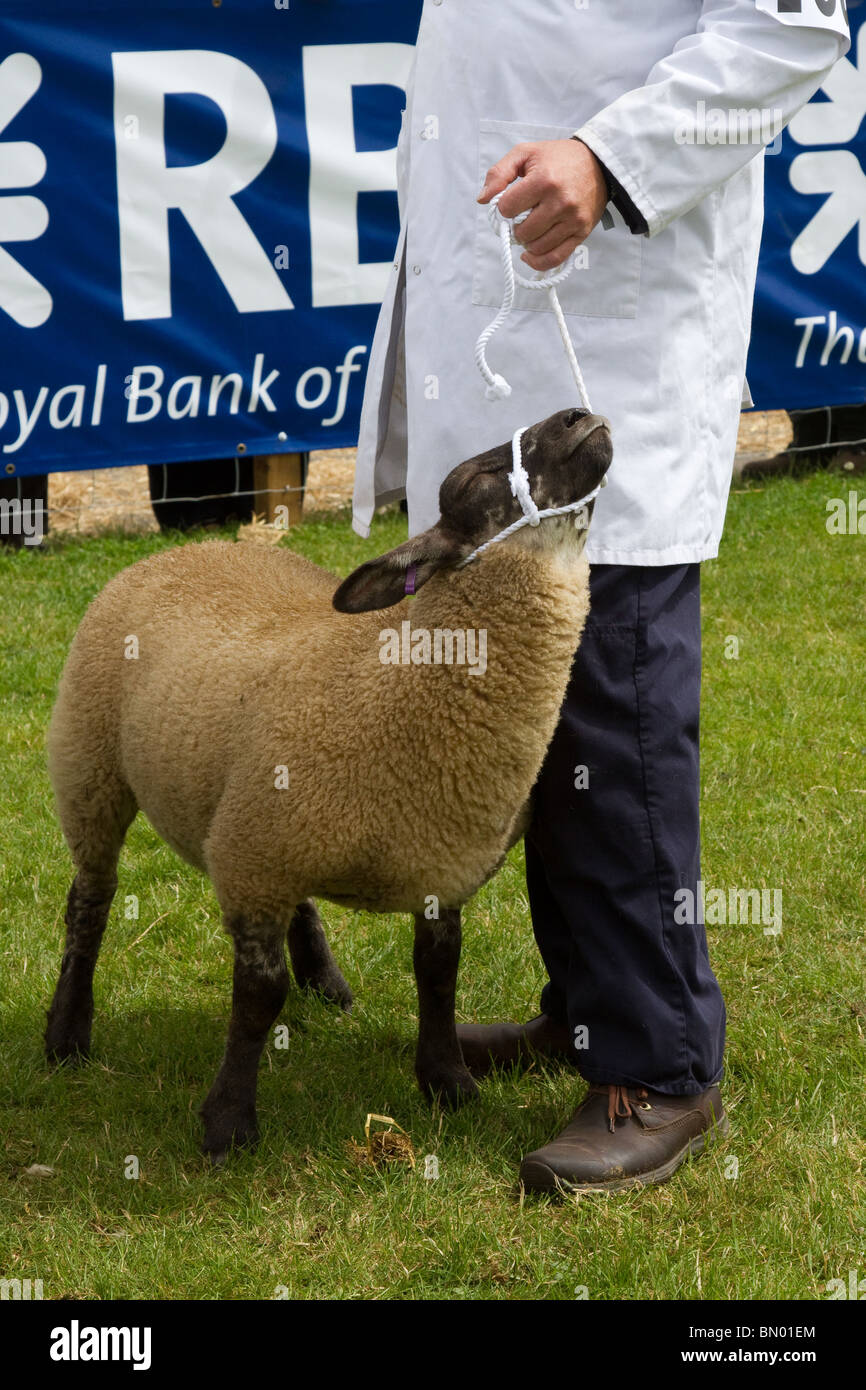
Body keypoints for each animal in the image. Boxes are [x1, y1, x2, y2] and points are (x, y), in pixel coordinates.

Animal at [44, 407, 612, 1162]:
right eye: (477, 477)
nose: (581, 416)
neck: (398, 680)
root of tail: (200, 543)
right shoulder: (251, 863)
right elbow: (258, 997)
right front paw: (229, 1123)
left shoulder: (436, 867)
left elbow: (440, 975)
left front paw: (448, 1083)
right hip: (90, 765)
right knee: (91, 899)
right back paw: (66, 1033)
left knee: (295, 906)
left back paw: (326, 982)